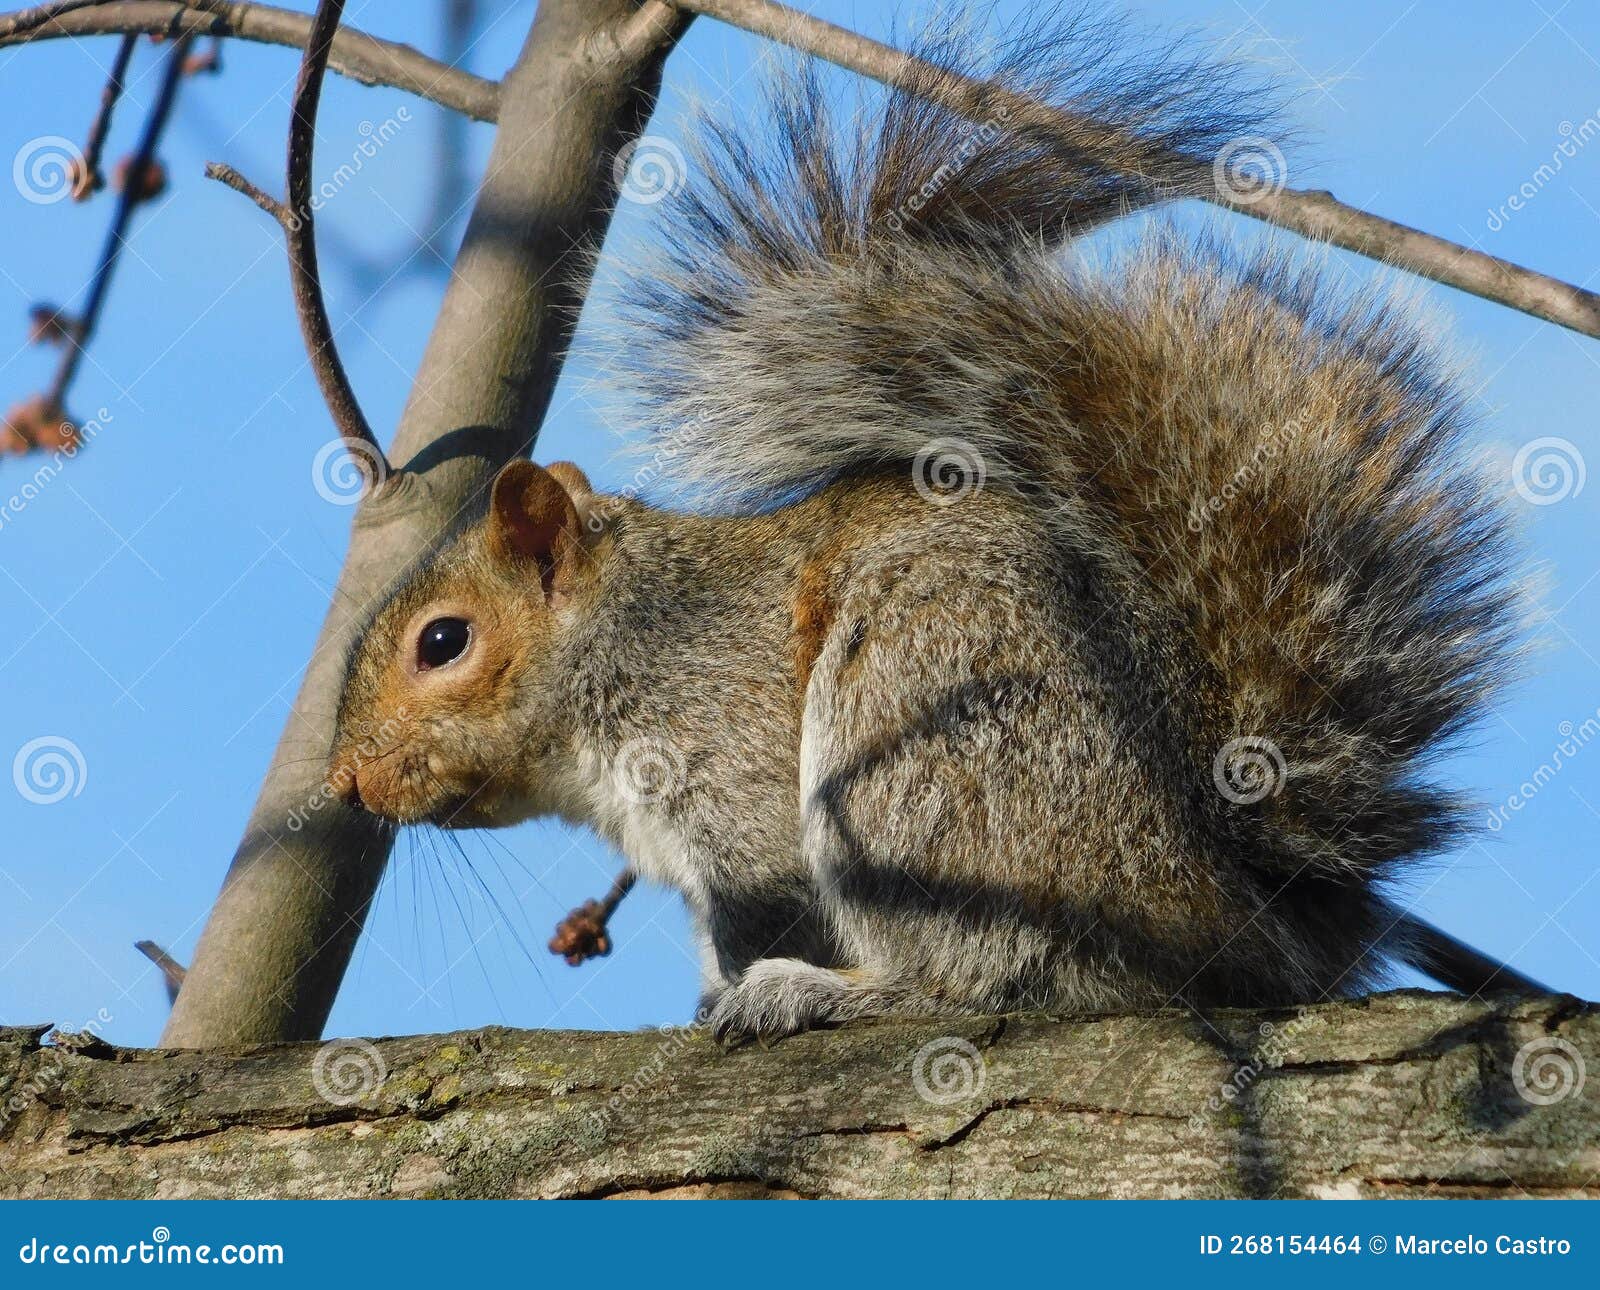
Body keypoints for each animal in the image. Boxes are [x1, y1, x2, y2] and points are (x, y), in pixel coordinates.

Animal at [330, 10, 1545, 1040]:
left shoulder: (727, 765)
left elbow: (771, 892)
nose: (345, 787)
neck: (619, 641)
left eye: (444, 642)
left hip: (923, 749)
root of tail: (1220, 907)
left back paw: (827, 992)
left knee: (993, 977)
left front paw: (755, 983)